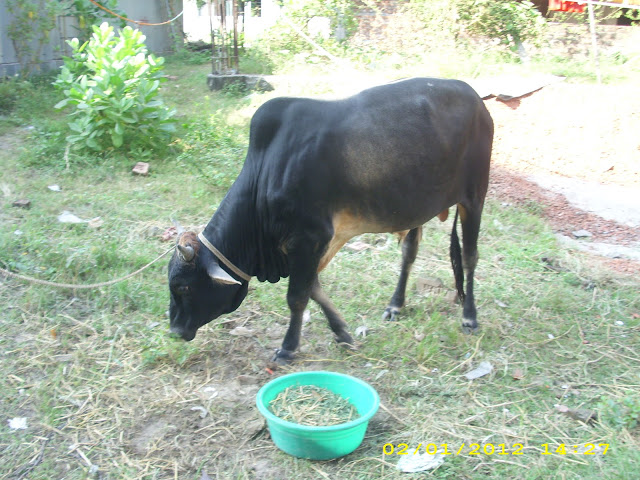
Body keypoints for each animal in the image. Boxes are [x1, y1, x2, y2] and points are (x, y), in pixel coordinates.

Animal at [168, 77, 493, 363]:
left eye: (183, 287)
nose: (175, 331)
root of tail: (476, 98)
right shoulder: (308, 247)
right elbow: (314, 290)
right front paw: (342, 332)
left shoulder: (309, 239)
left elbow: (297, 297)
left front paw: (288, 348)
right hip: (417, 207)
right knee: (409, 252)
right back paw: (395, 305)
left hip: (474, 197)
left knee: (469, 257)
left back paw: (470, 316)